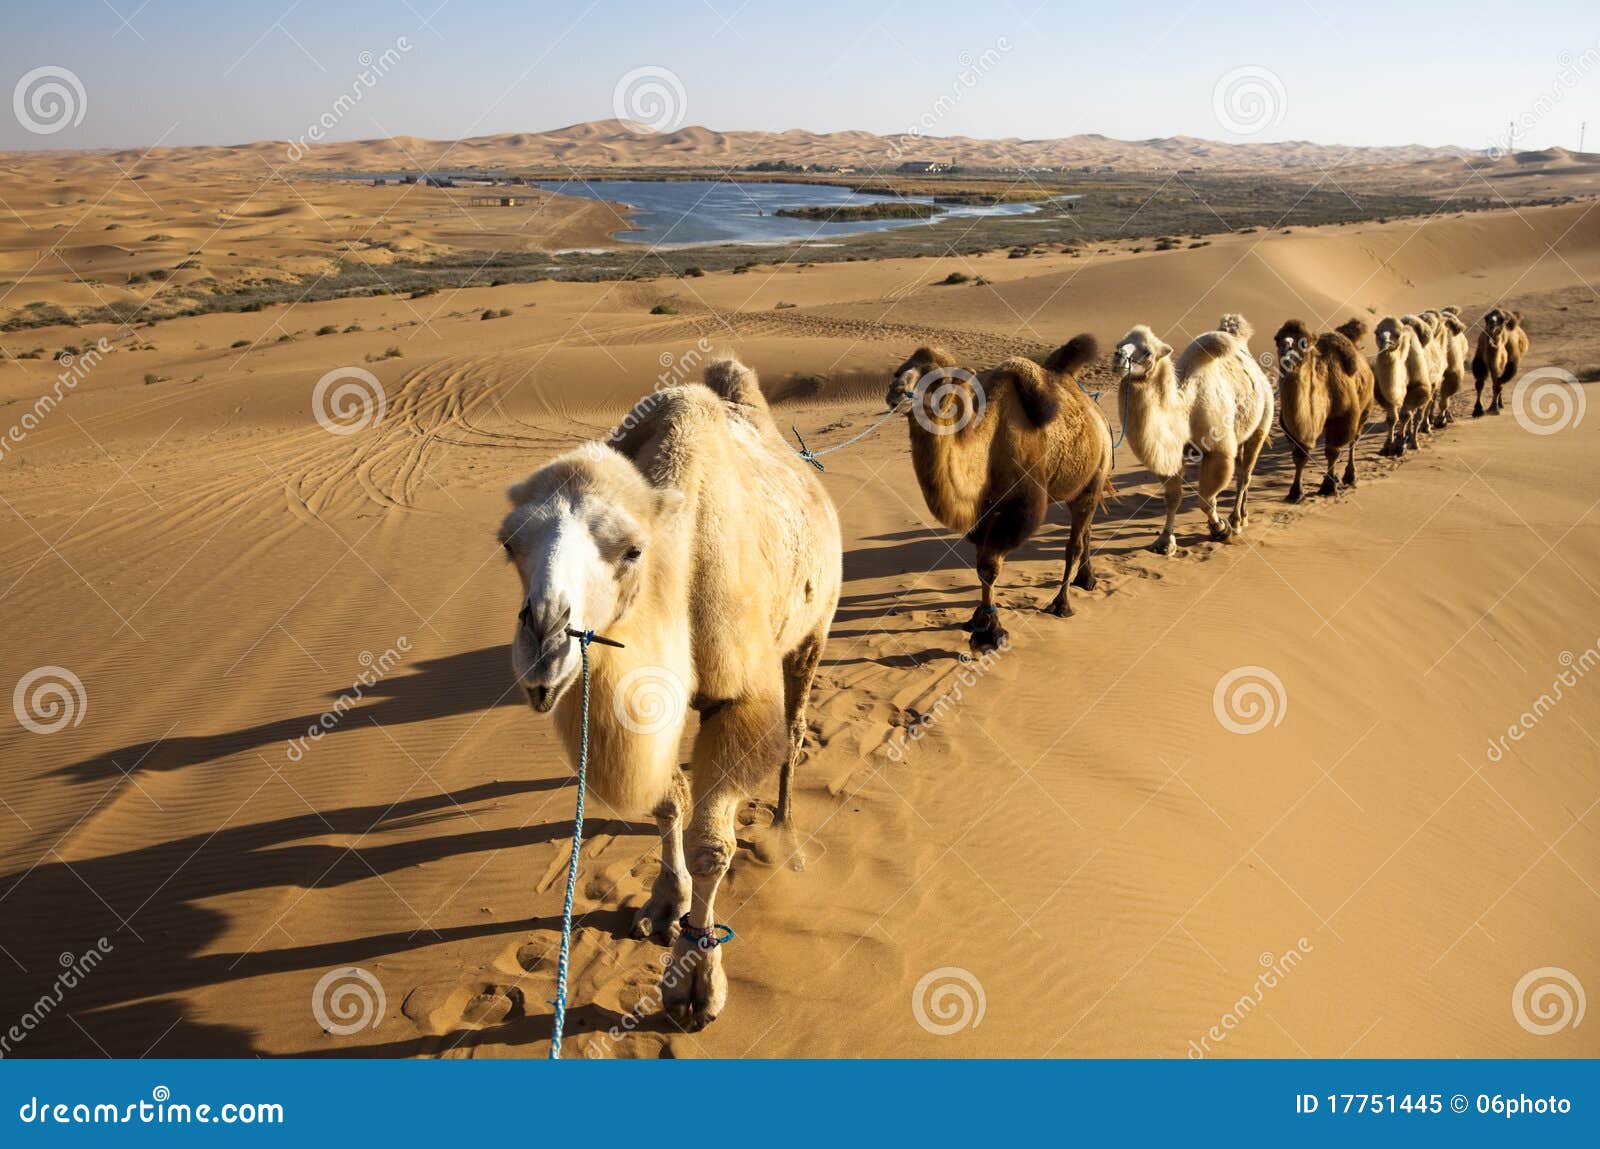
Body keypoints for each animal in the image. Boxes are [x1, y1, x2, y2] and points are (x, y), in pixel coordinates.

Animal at [499, 356, 841, 1030]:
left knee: (793, 730)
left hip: (814, 628)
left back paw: (785, 831)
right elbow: (666, 802)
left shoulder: (739, 699)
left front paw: (695, 983)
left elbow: (713, 846)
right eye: (509, 546)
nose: (544, 642)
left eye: (632, 550)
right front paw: (664, 902)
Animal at [884, 336, 1110, 652]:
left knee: (1074, 544)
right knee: (1086, 531)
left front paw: (988, 634)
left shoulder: (1019, 509)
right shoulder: (983, 510)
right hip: (1077, 487)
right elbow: (981, 565)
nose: (896, 392)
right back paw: (1086, 580)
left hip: (1095, 476)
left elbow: (990, 567)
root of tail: (1097, 413)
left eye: (940, 379)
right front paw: (976, 621)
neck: (988, 447)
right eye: (899, 370)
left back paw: (1061, 604)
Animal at [1110, 314, 1274, 554]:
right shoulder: (1174, 454)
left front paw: (1220, 529)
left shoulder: (1218, 451)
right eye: (1119, 344)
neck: (1185, 410)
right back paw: (1243, 516)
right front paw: (1165, 542)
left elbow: (1205, 500)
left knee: (1245, 476)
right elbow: (1172, 498)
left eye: (1147, 351)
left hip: (1262, 424)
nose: (1118, 357)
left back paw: (1235, 521)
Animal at [1272, 319, 1375, 500]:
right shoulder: (1292, 430)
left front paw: (1328, 487)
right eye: (1277, 338)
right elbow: (1299, 456)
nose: (1286, 346)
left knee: (1354, 440)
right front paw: (1295, 492)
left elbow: (1332, 451)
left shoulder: (1342, 419)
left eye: (1303, 342)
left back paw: (1350, 476)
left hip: (1365, 409)